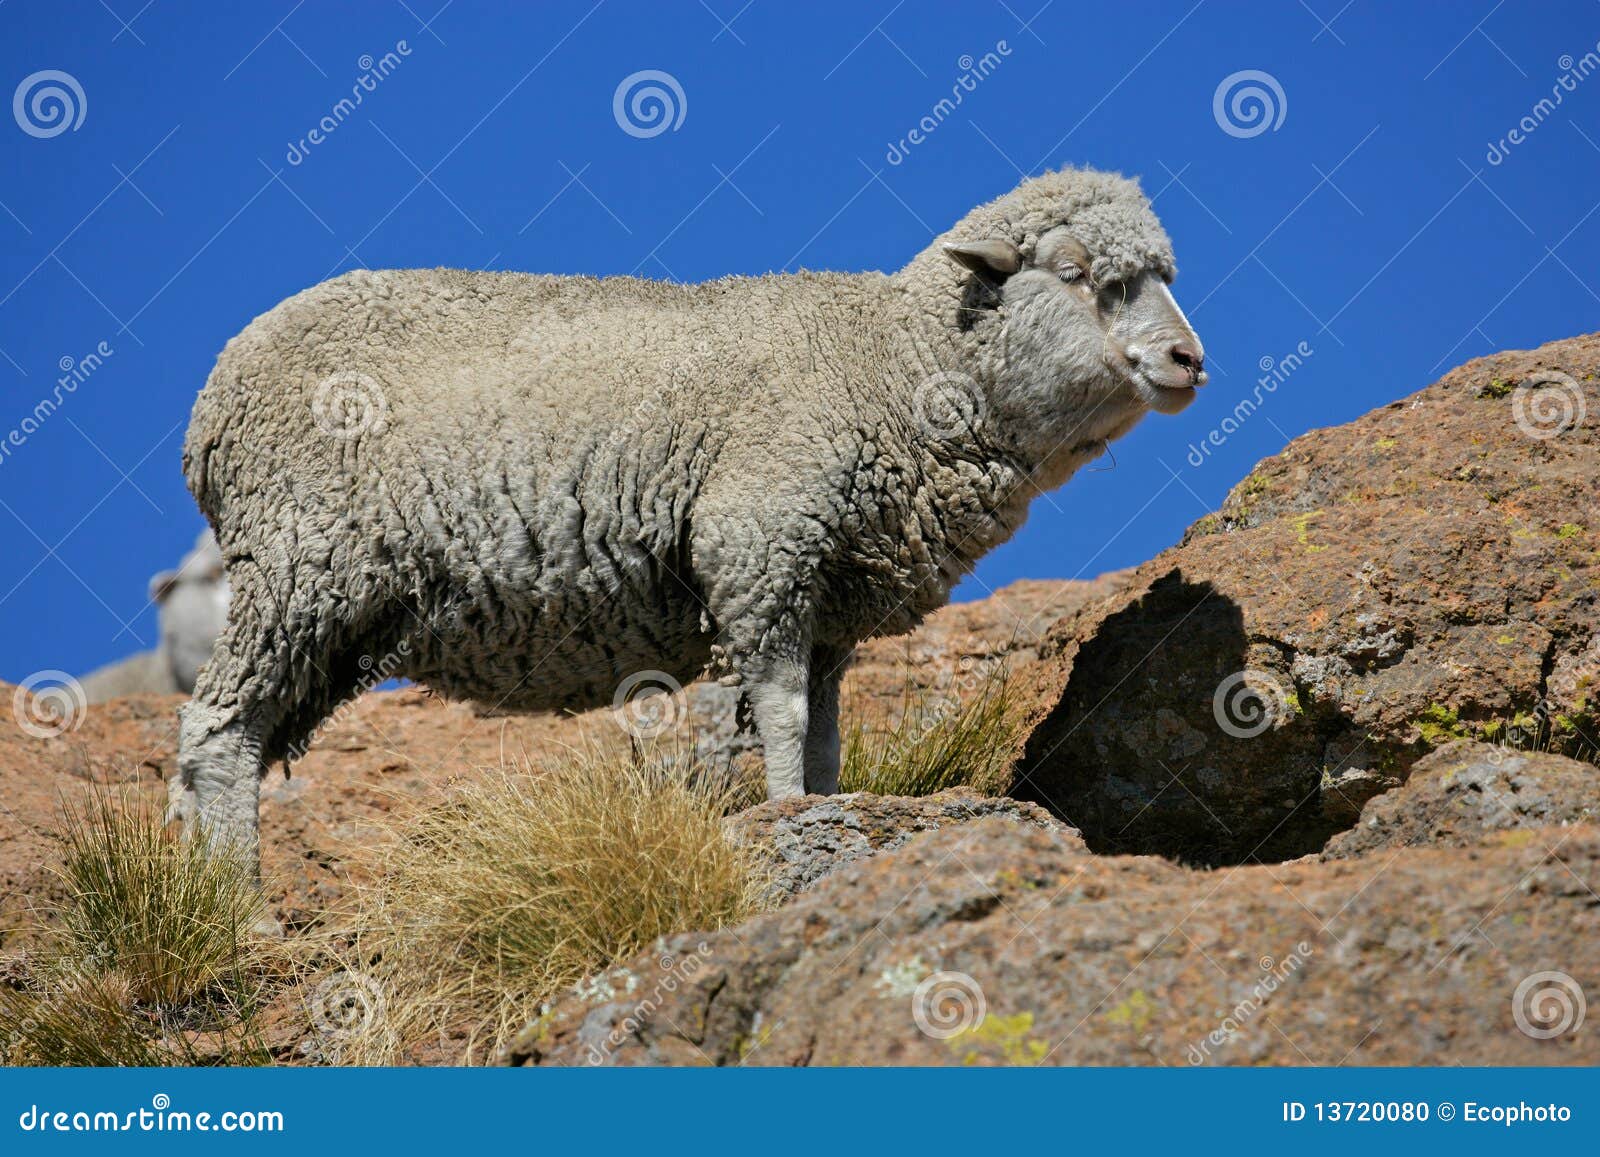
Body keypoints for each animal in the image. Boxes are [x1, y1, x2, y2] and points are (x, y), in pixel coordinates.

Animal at [176, 165, 1206, 878]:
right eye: (1075, 271)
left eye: (1161, 274)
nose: (1189, 359)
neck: (887, 364)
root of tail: (211, 407)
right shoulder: (760, 543)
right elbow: (783, 712)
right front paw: (787, 811)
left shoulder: (828, 600)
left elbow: (826, 728)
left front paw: (826, 805)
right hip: (300, 564)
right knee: (216, 732)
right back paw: (237, 906)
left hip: (336, 611)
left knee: (243, 738)